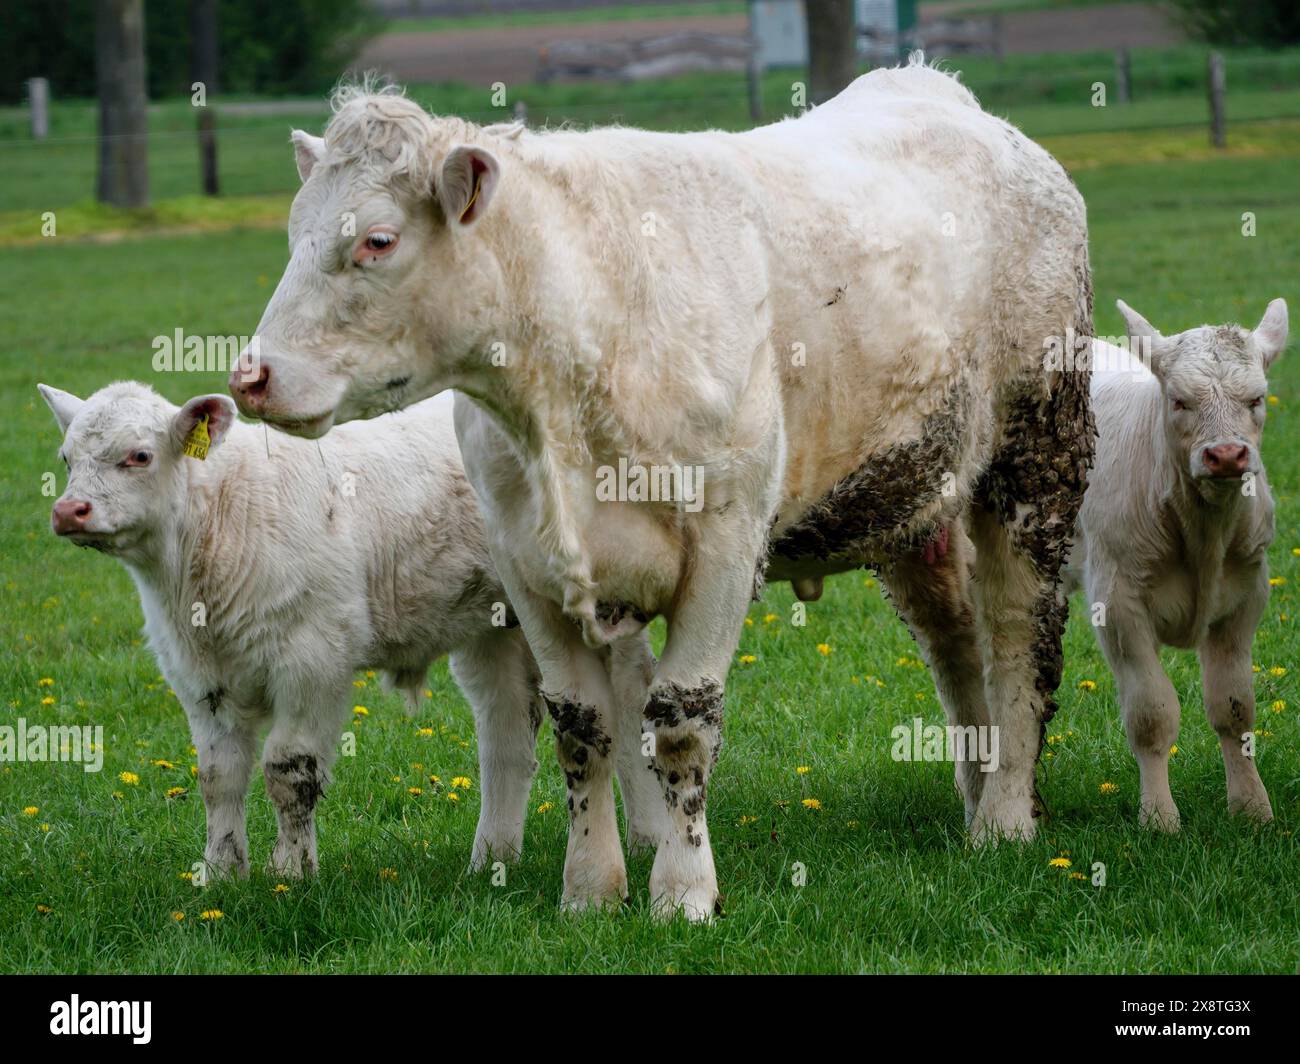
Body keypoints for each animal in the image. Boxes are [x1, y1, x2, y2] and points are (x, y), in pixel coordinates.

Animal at [39, 381, 665, 878]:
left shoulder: (312, 661)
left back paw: (646, 839)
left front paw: (291, 874)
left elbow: (288, 770)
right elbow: (219, 776)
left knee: (626, 703)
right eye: (66, 458)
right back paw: (491, 858)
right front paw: (220, 874)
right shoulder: (200, 679)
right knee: (506, 730)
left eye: (139, 455)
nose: (69, 511)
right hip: (498, 626)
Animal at [229, 59, 1095, 920]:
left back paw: (1006, 819)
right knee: (954, 643)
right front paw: (589, 889)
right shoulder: (525, 565)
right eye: (294, 234)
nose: (252, 376)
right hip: (916, 496)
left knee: (1017, 637)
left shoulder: (725, 544)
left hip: (1036, 452)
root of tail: (937, 88)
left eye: (377, 240)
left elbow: (681, 721)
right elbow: (581, 725)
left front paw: (682, 891)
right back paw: (978, 794)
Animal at [1065, 299, 1288, 830]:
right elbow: (1151, 715)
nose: (1226, 454)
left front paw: (1252, 808)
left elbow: (1234, 707)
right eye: (1179, 401)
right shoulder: (1117, 602)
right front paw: (1159, 818)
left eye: (1257, 399)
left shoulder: (1246, 595)